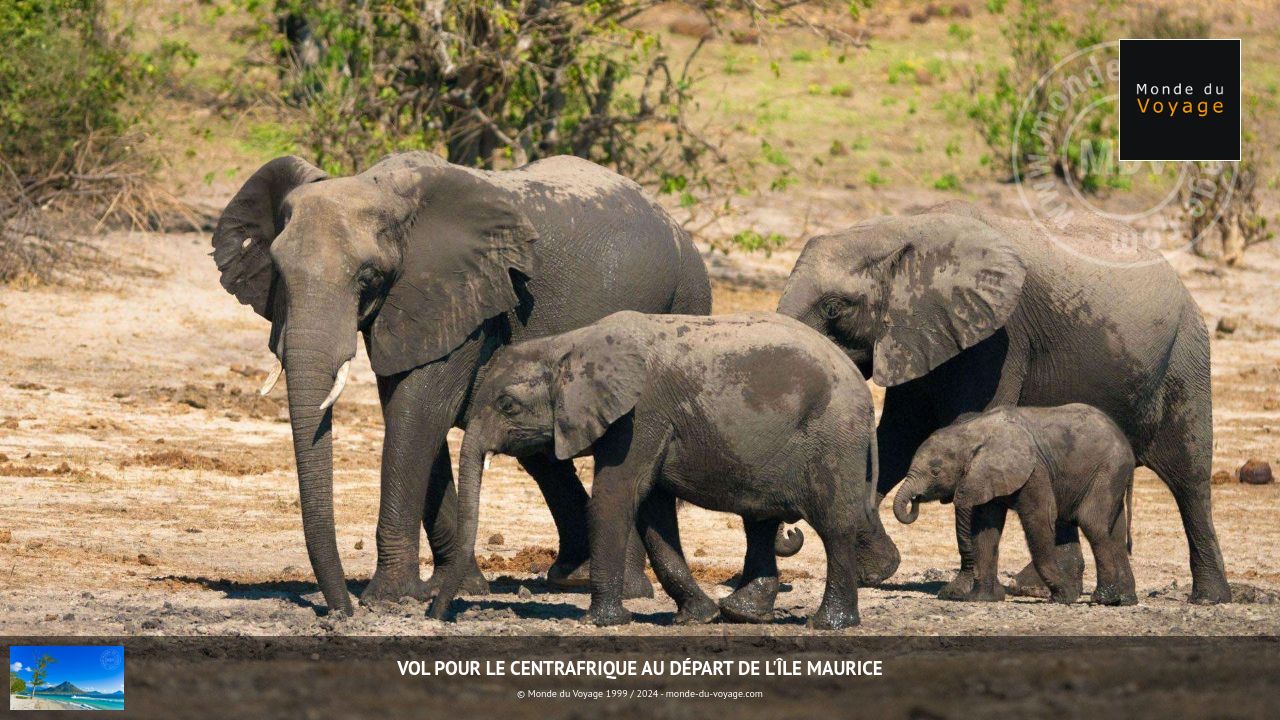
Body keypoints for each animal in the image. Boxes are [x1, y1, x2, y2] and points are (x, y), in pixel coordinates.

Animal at [209, 149, 711, 609]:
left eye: (367, 277)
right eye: (278, 273)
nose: (341, 610)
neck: (382, 189)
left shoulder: (463, 297)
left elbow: (417, 413)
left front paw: (387, 599)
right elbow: (408, 413)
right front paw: (457, 588)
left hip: (684, 298)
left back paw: (626, 589)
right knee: (543, 455)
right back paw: (573, 578)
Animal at [424, 311, 885, 625]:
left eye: (507, 405)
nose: (437, 614)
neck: (569, 345)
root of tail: (861, 387)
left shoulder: (639, 415)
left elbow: (615, 498)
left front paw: (601, 622)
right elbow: (654, 513)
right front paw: (696, 617)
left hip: (832, 436)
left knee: (833, 525)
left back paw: (829, 623)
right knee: (761, 521)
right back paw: (741, 614)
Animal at [896, 399, 1136, 602]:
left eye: (935, 472)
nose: (915, 500)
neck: (973, 432)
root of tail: (1127, 446)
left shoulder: (1035, 470)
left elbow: (1039, 519)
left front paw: (1063, 597)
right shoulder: (984, 475)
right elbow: (985, 529)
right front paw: (982, 599)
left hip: (1107, 470)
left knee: (1091, 523)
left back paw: (1103, 599)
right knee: (1115, 532)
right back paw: (1124, 600)